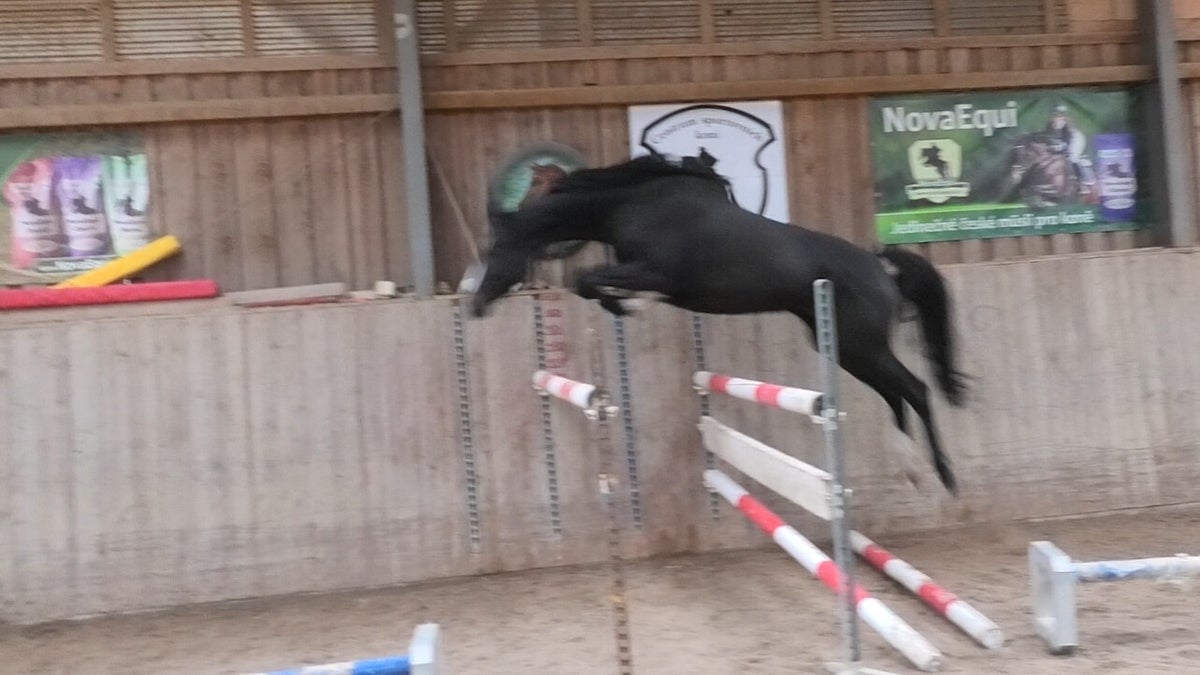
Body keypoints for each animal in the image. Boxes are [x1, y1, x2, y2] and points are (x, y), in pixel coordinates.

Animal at [468, 153, 969, 494]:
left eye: (496, 248)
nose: (475, 305)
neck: (632, 203)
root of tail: (880, 265)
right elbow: (588, 284)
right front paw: (630, 306)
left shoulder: (658, 273)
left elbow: (586, 279)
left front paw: (633, 306)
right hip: (846, 349)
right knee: (896, 396)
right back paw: (912, 471)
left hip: (860, 346)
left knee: (915, 391)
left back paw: (944, 477)